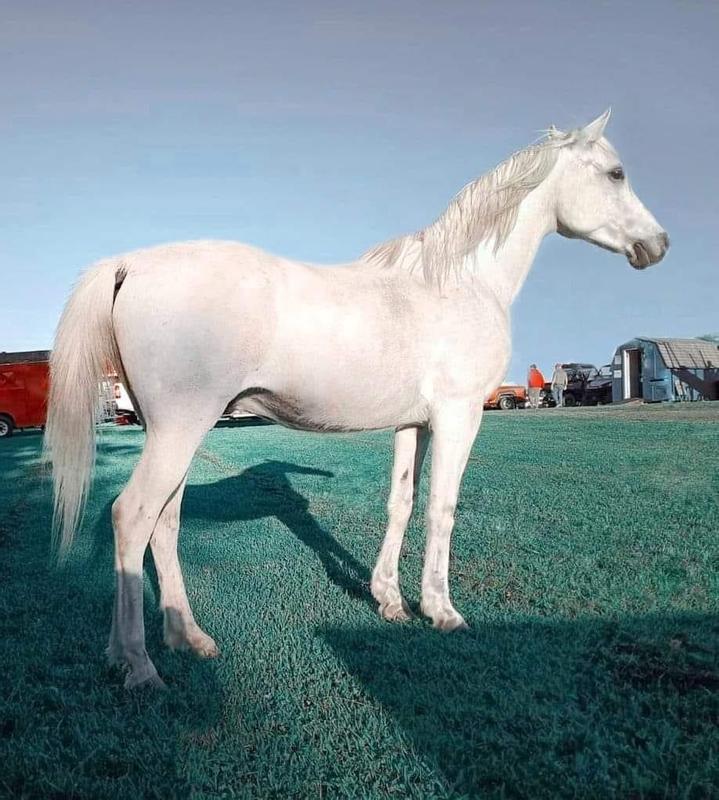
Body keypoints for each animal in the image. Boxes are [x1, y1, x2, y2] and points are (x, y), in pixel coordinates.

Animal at [46, 110, 669, 688]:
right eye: (615, 173)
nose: (658, 245)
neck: (461, 282)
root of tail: (130, 263)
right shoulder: (459, 415)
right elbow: (442, 507)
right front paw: (442, 611)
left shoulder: (414, 424)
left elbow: (402, 502)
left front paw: (389, 600)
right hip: (181, 427)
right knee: (132, 517)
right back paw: (139, 665)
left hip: (171, 432)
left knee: (165, 523)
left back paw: (183, 639)